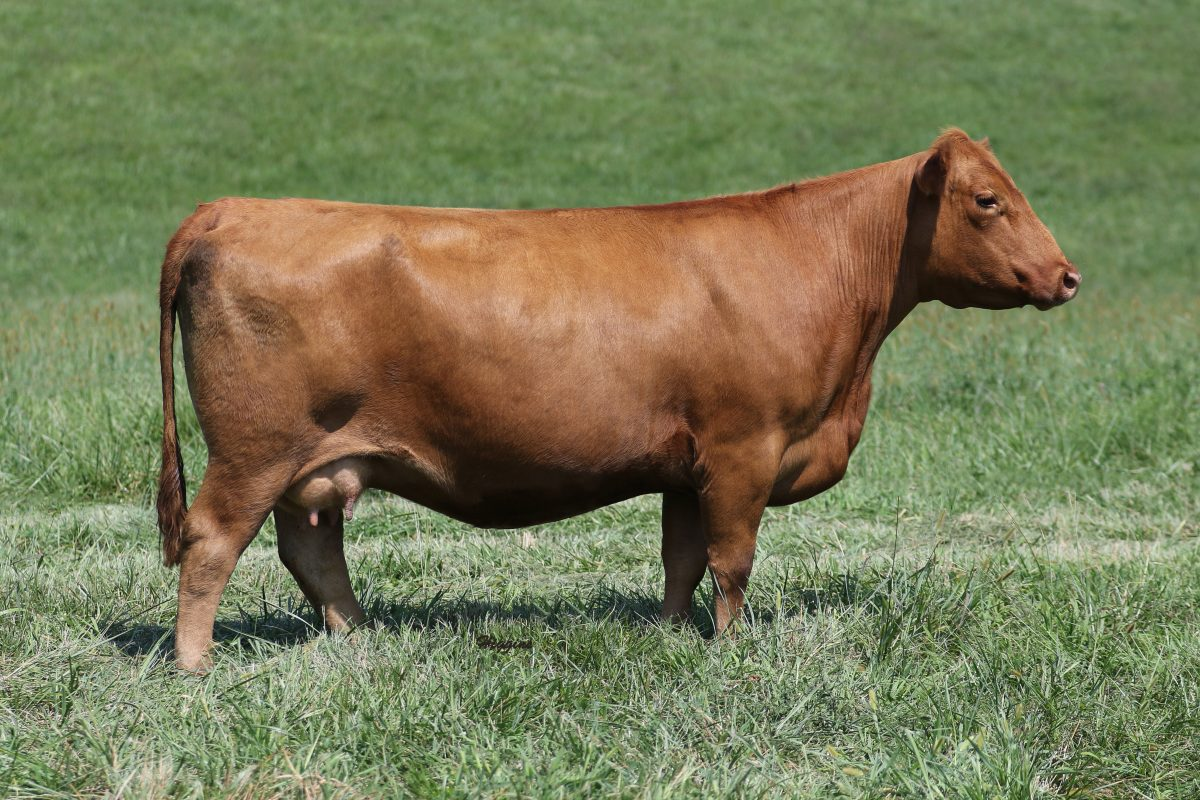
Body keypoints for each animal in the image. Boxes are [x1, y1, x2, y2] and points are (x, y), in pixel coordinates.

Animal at [156, 129, 1079, 672]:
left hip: (315, 461)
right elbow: (732, 560)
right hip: (255, 448)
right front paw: (729, 650)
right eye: (988, 200)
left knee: (311, 549)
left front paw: (672, 633)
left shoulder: (687, 465)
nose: (1068, 276)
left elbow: (681, 556)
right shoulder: (745, 449)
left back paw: (359, 637)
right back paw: (196, 667)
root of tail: (230, 209)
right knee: (211, 542)